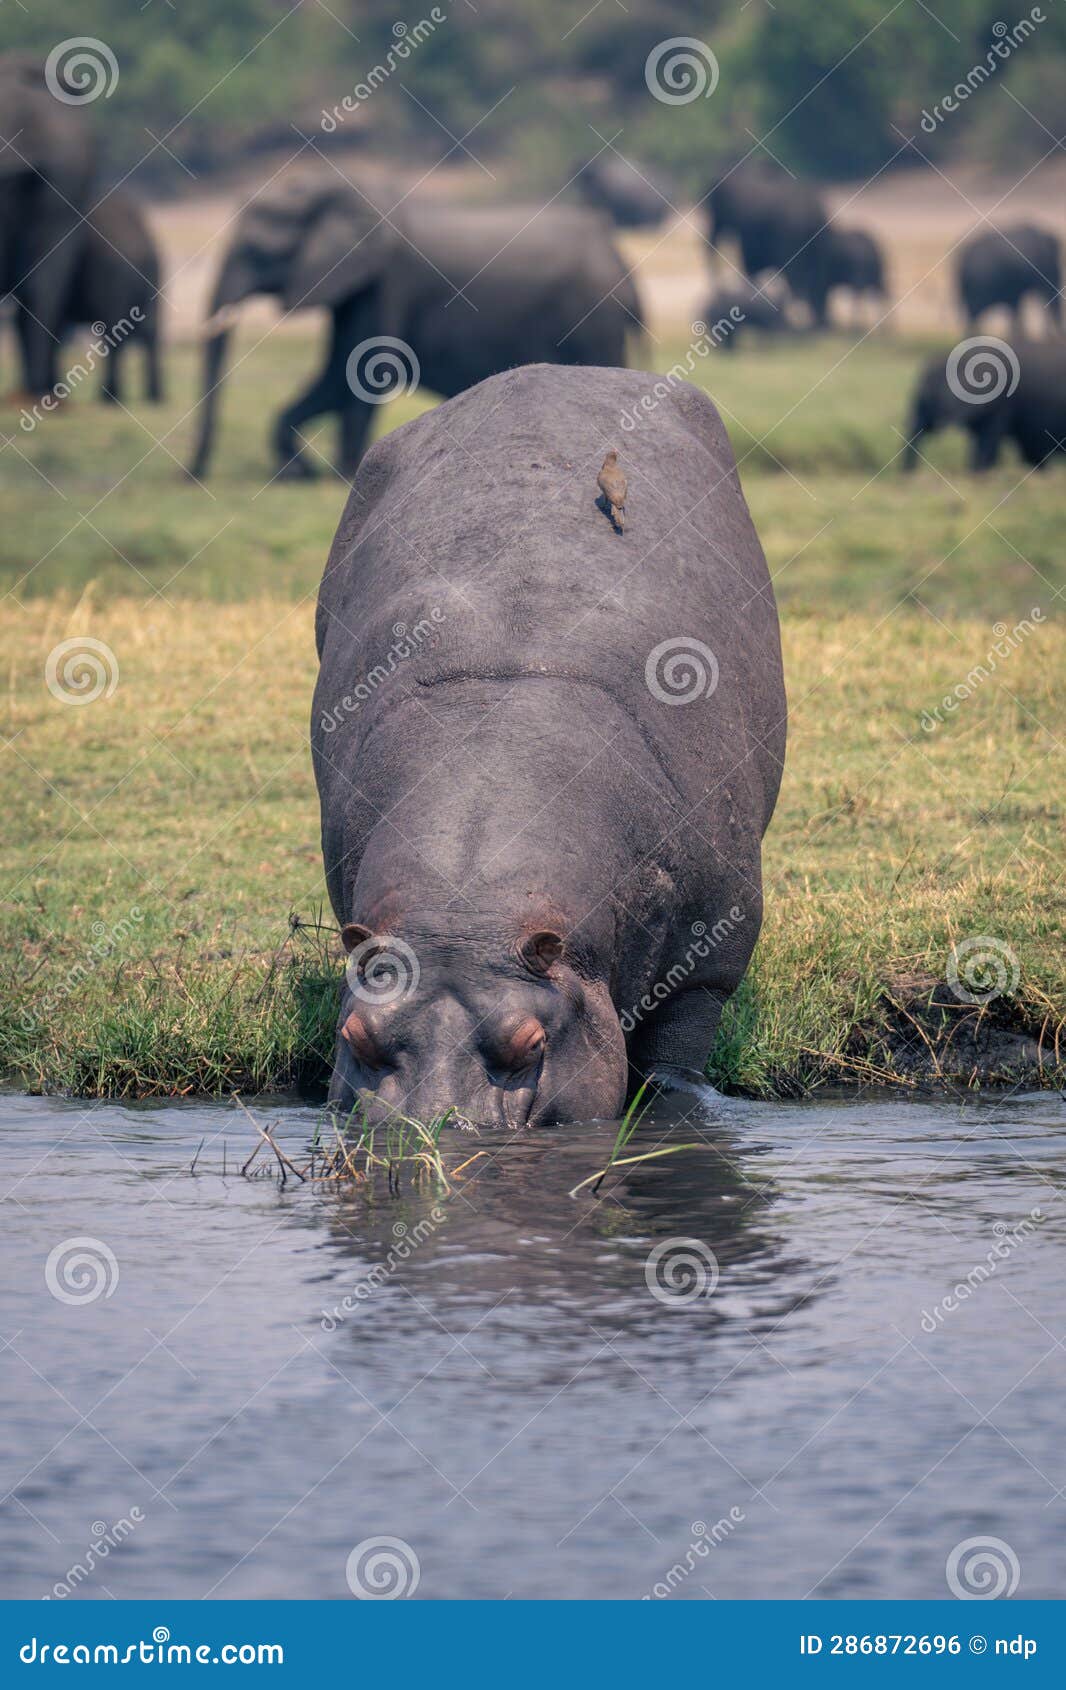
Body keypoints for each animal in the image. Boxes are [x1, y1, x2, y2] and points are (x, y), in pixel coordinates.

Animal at [312, 363, 786, 1126]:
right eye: (355, 1034)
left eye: (531, 1043)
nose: (431, 1131)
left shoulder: (718, 933)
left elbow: (684, 1030)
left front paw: (675, 1097)